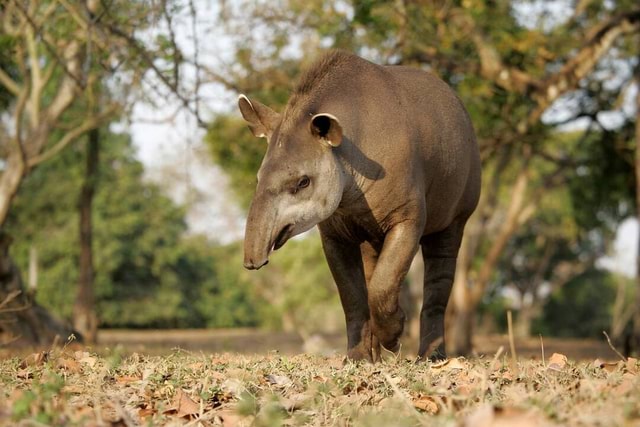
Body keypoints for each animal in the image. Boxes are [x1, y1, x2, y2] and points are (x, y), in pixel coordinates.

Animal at [238, 51, 480, 362]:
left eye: (303, 182)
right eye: (258, 177)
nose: (253, 261)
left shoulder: (408, 216)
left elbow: (383, 284)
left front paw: (394, 336)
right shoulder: (334, 230)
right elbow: (353, 295)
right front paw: (358, 357)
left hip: (458, 208)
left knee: (440, 273)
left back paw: (432, 356)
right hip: (370, 234)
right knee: (371, 267)